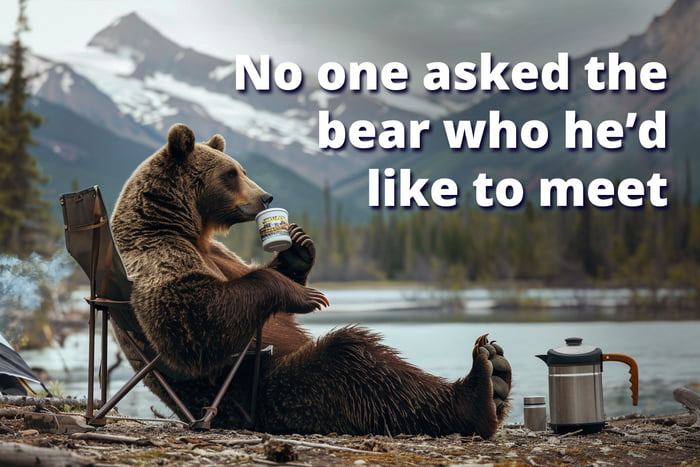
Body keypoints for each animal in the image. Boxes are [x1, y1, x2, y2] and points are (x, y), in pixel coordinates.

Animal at [110, 123, 512, 438]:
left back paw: (496, 372)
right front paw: (305, 295)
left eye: (241, 168)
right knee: (352, 361)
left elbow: (261, 290)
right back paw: (480, 392)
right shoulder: (158, 254)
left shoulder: (222, 255)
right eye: (231, 174)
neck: (186, 225)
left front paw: (298, 248)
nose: (265, 196)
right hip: (270, 391)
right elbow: (195, 324)